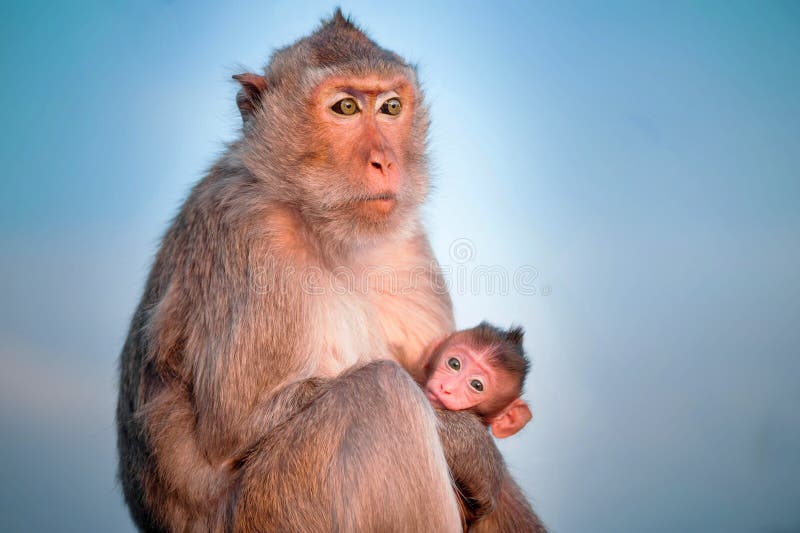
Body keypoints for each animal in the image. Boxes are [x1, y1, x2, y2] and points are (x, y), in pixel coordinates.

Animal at [116, 10, 547, 532]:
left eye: (390, 107)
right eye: (345, 107)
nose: (385, 161)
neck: (328, 232)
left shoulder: (406, 246)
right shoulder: (251, 231)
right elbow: (235, 429)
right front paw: (472, 445)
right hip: (277, 504)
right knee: (380, 394)